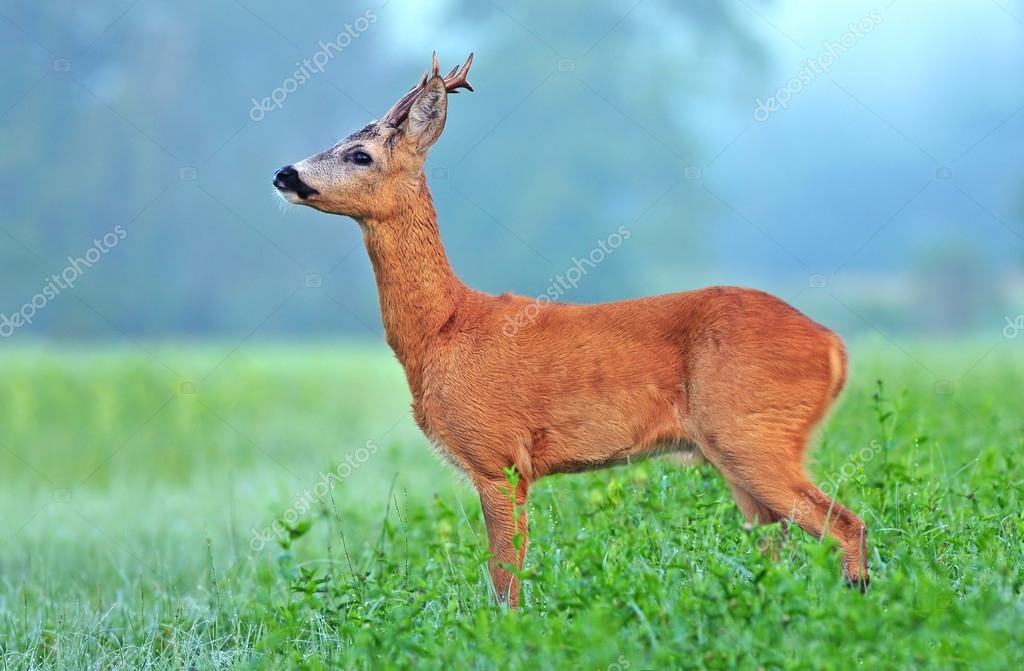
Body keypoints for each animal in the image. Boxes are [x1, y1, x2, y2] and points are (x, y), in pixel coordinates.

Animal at [273, 53, 869, 608]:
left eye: (360, 154)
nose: (284, 174)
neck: (442, 332)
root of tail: (833, 346)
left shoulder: (498, 456)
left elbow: (504, 580)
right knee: (777, 545)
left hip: (751, 431)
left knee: (846, 525)